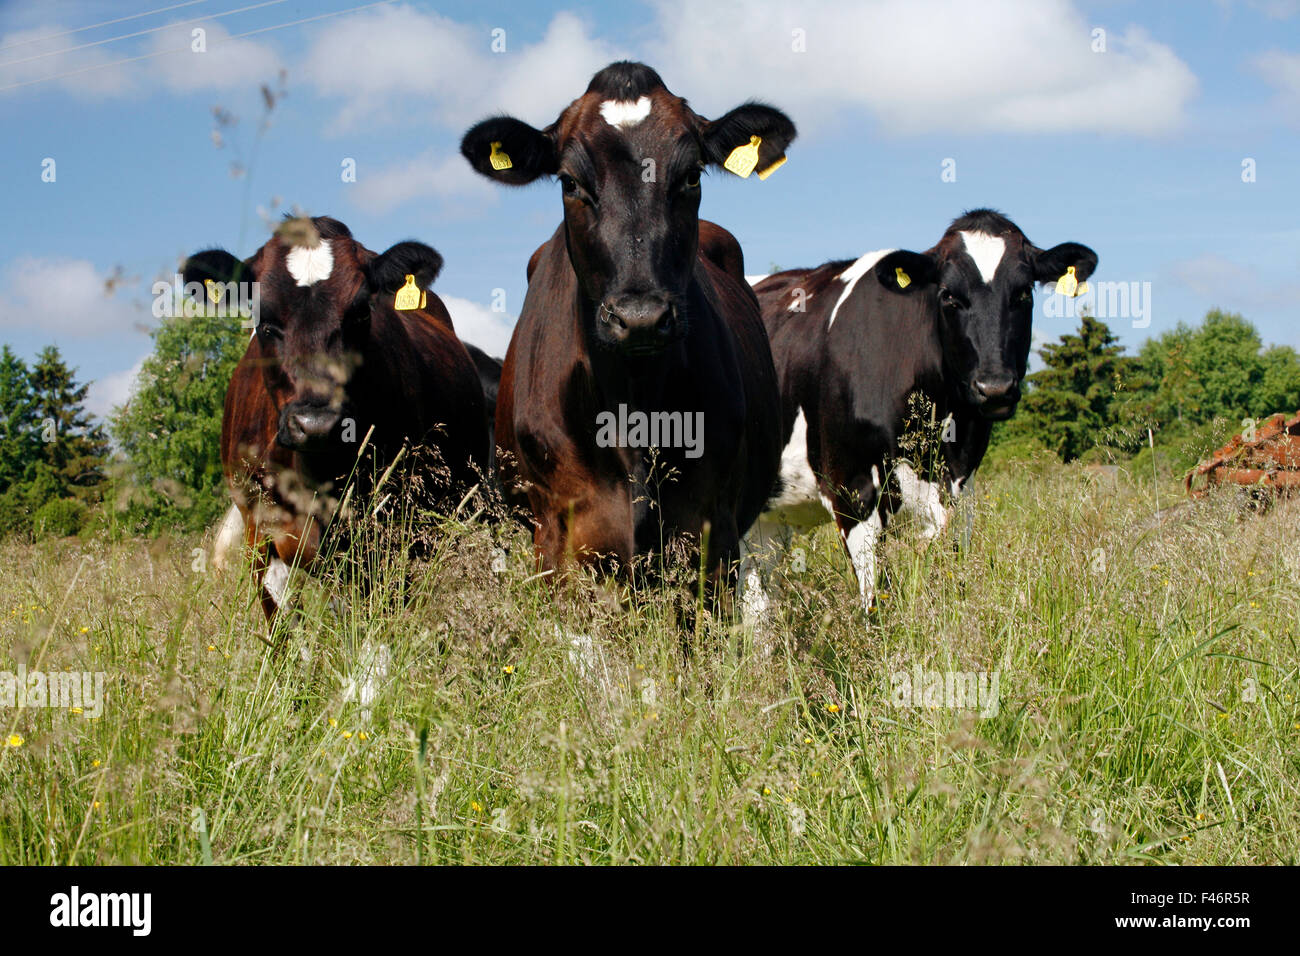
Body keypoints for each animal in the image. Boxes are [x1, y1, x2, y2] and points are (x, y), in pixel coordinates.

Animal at [741, 208, 1097, 614]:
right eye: (948, 295)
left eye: (1023, 293)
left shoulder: (959, 495)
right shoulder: (852, 490)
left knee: (755, 602)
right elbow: (877, 606)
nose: (995, 388)